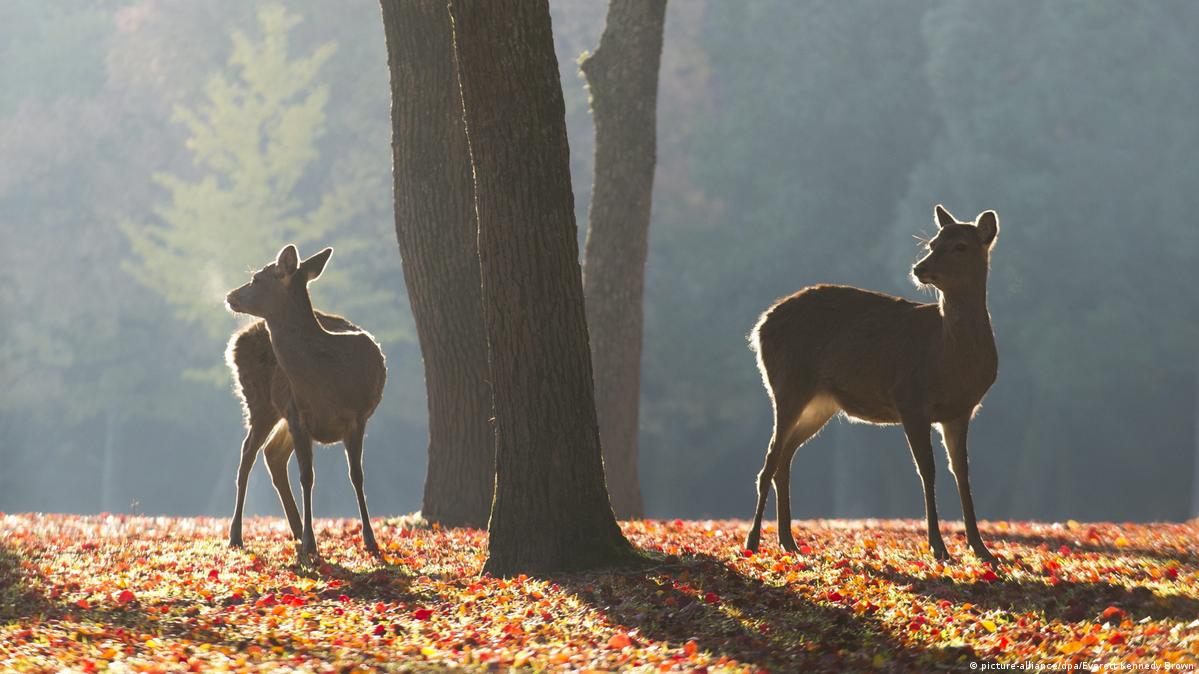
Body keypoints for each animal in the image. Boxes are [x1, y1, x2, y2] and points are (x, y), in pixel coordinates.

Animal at [224, 244, 387, 559]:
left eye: (256, 279)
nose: (230, 296)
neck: (327, 379)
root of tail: (233, 344)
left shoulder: (357, 415)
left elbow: (357, 476)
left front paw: (371, 540)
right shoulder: (299, 415)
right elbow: (307, 477)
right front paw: (312, 545)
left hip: (276, 410)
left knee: (271, 453)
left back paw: (297, 530)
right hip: (259, 402)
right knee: (248, 453)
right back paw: (237, 535)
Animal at [745, 205, 1000, 564]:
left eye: (960, 245)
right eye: (932, 243)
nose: (919, 268)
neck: (946, 356)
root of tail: (760, 327)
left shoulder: (961, 411)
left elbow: (962, 473)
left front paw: (981, 549)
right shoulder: (910, 399)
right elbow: (928, 470)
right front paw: (938, 547)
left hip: (821, 403)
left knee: (784, 458)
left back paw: (788, 541)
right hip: (787, 384)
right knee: (770, 458)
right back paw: (753, 541)